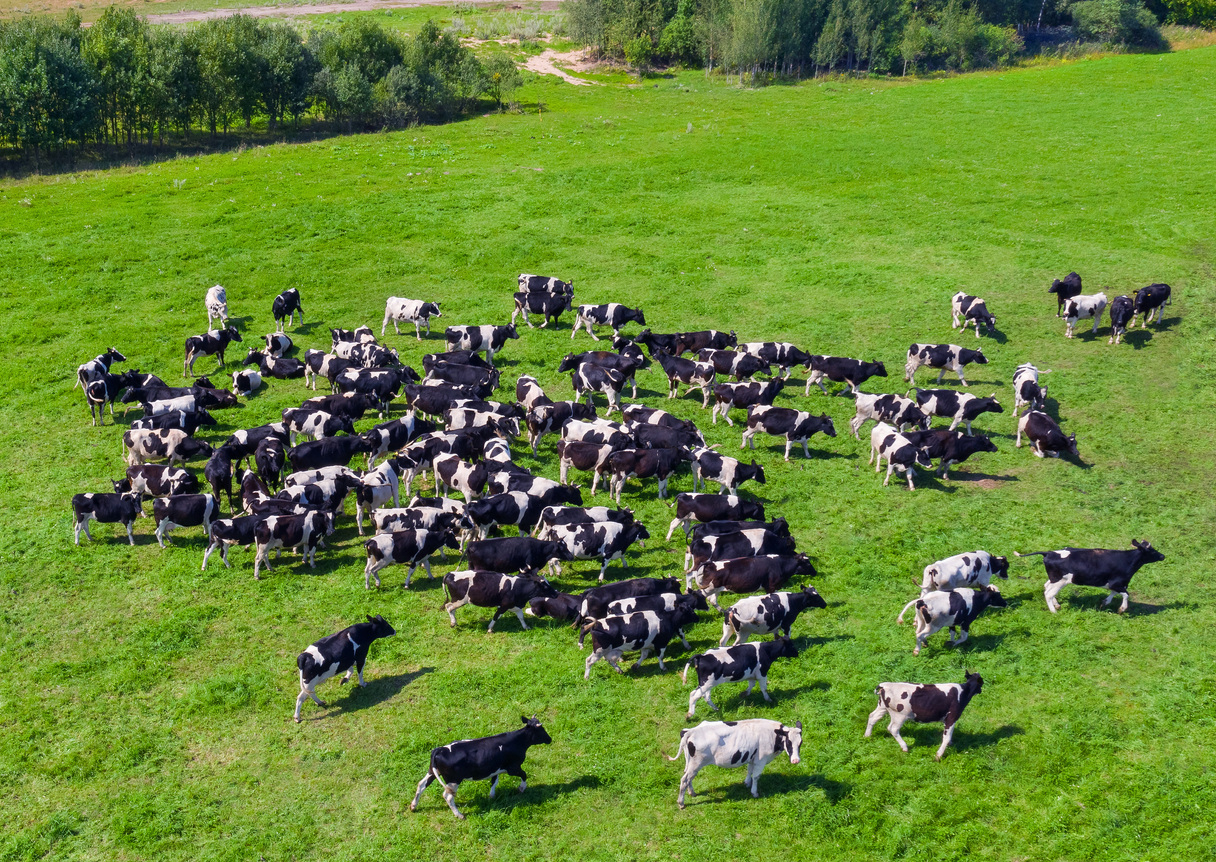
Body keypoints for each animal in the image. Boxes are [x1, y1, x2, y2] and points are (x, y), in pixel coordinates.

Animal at [410, 716, 552, 820]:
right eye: (541, 729)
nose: (550, 739)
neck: (518, 741)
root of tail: (439, 749)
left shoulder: (495, 768)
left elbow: (494, 782)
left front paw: (491, 796)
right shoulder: (513, 767)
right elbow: (524, 774)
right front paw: (521, 788)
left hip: (432, 772)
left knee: (421, 785)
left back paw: (413, 806)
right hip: (453, 779)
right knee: (448, 796)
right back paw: (459, 815)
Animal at [670, 718, 802, 809]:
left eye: (800, 743)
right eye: (789, 742)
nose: (796, 760)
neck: (772, 734)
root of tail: (691, 731)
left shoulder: (752, 757)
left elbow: (749, 770)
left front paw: (747, 783)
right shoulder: (761, 760)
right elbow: (756, 776)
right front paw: (754, 792)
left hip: (690, 762)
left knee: (688, 777)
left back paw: (692, 792)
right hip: (696, 763)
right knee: (684, 779)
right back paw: (681, 803)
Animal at [1017, 540, 1165, 614]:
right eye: (1151, 550)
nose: (1162, 556)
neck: (1128, 561)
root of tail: (1049, 552)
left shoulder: (1117, 583)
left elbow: (1114, 593)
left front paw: (1105, 602)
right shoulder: (1116, 582)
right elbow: (1126, 594)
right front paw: (1122, 609)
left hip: (1055, 579)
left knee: (1046, 587)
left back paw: (1057, 605)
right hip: (1060, 580)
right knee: (1048, 593)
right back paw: (1054, 611)